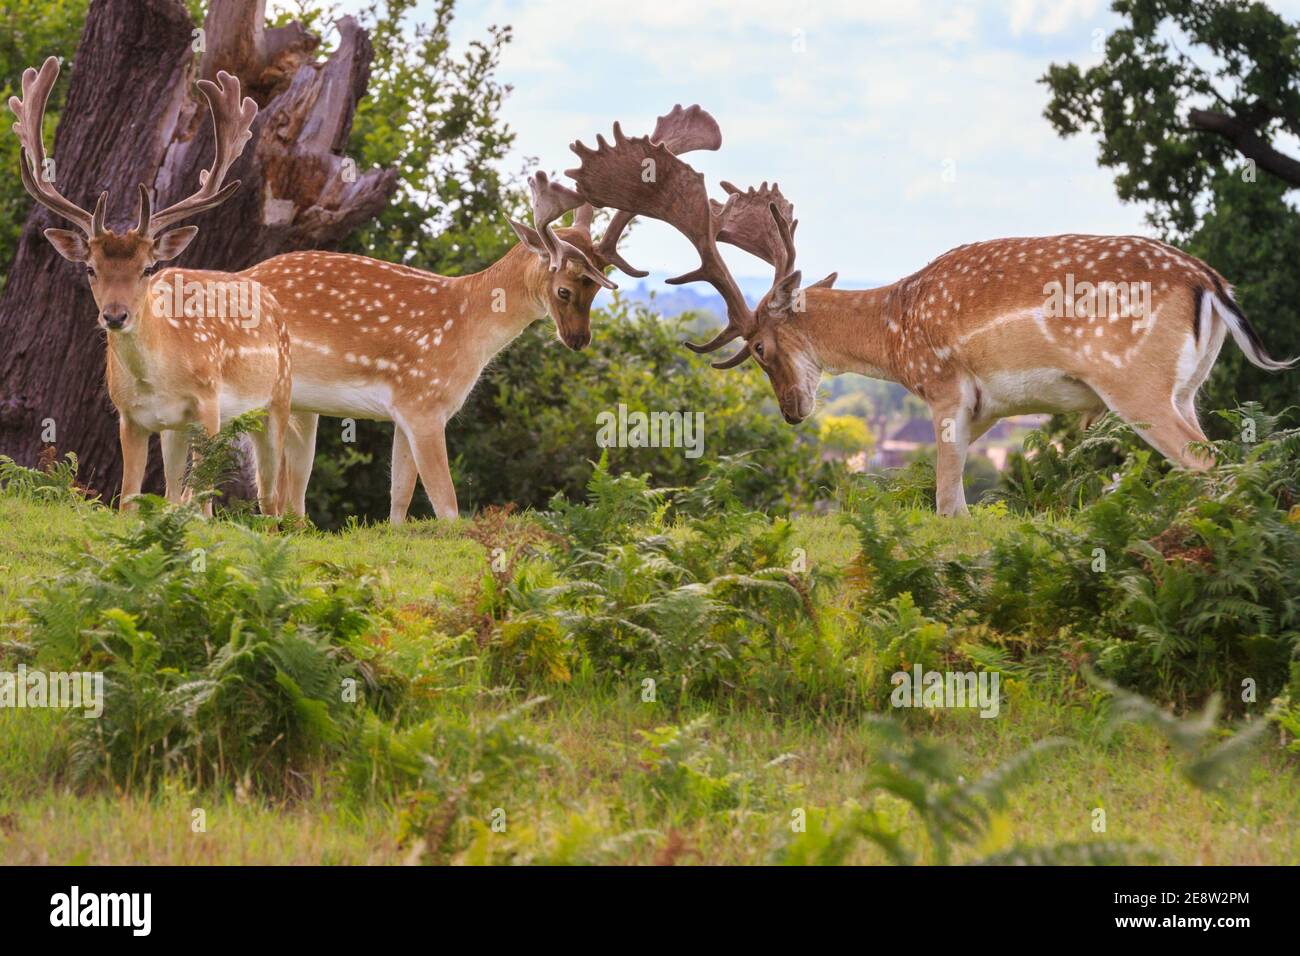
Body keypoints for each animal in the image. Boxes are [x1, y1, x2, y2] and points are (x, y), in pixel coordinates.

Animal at [9, 57, 289, 515]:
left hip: (279, 399)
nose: (115, 315)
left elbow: (204, 505)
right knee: (179, 492)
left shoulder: (209, 405)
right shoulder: (130, 417)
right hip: (177, 430)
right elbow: (129, 500)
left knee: (272, 496)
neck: (157, 378)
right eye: (90, 268)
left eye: (147, 268)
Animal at [244, 105, 720, 524]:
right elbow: (448, 507)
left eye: (597, 290)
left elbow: (399, 499)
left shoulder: (404, 410)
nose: (579, 339)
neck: (466, 324)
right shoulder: (423, 402)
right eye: (564, 289)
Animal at [563, 116, 1297, 516]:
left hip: (1136, 383)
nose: (794, 411)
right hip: (1188, 386)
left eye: (763, 349)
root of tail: (1210, 282)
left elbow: (948, 509)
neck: (897, 335)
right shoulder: (982, 409)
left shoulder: (944, 388)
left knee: (1207, 463)